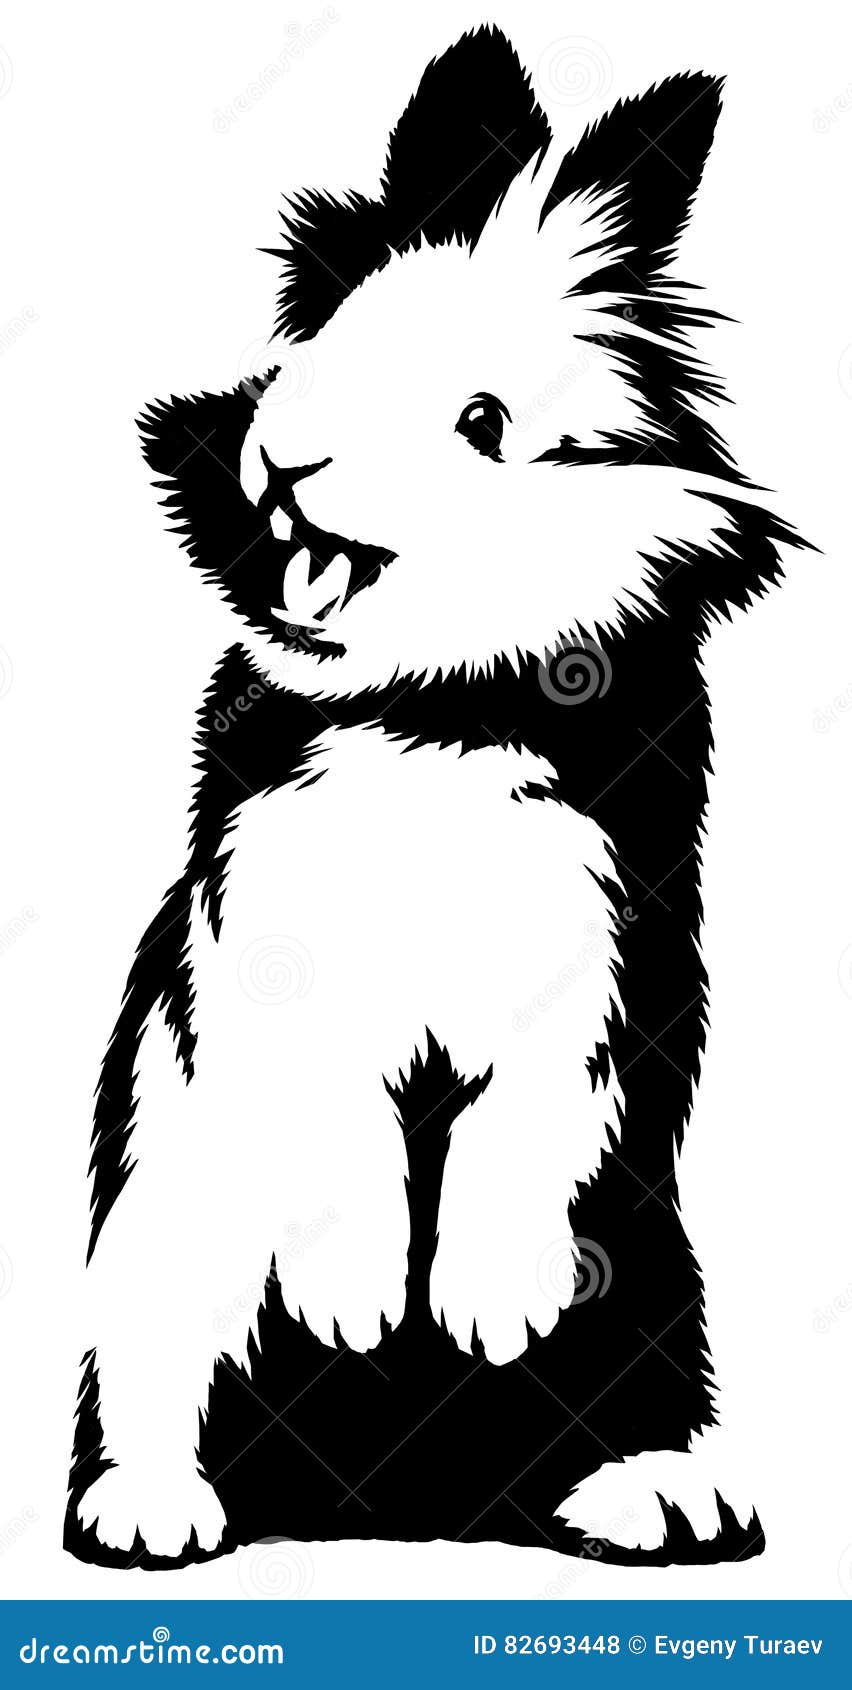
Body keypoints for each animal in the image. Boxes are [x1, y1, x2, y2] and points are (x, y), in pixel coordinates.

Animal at [67, 27, 805, 1570]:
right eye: (328, 351)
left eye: (482, 421)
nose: (286, 461)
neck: (437, 713)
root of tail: (396, 1507)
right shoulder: (259, 937)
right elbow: (336, 1115)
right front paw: (359, 1305)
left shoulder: (601, 946)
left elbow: (530, 1118)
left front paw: (483, 1310)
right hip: (162, 1214)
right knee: (155, 1357)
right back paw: (151, 1509)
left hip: (655, 1266)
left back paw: (657, 1494)